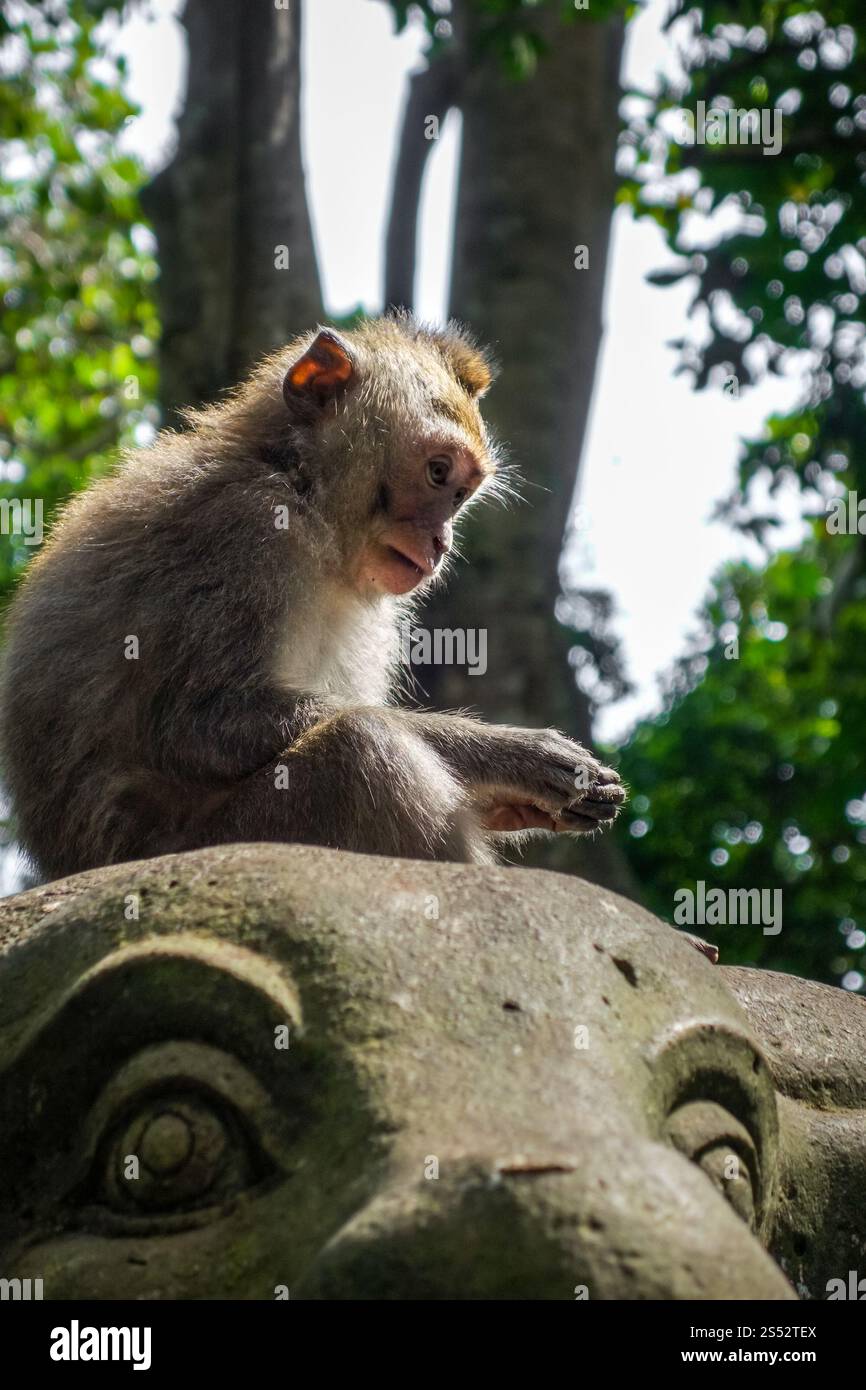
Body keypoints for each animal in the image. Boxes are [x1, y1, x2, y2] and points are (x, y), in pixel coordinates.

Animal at [0, 314, 628, 885]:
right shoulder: (245, 531)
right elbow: (194, 722)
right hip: (223, 842)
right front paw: (510, 755)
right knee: (362, 749)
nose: (441, 543)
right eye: (437, 471)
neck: (299, 485)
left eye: (460, 493)